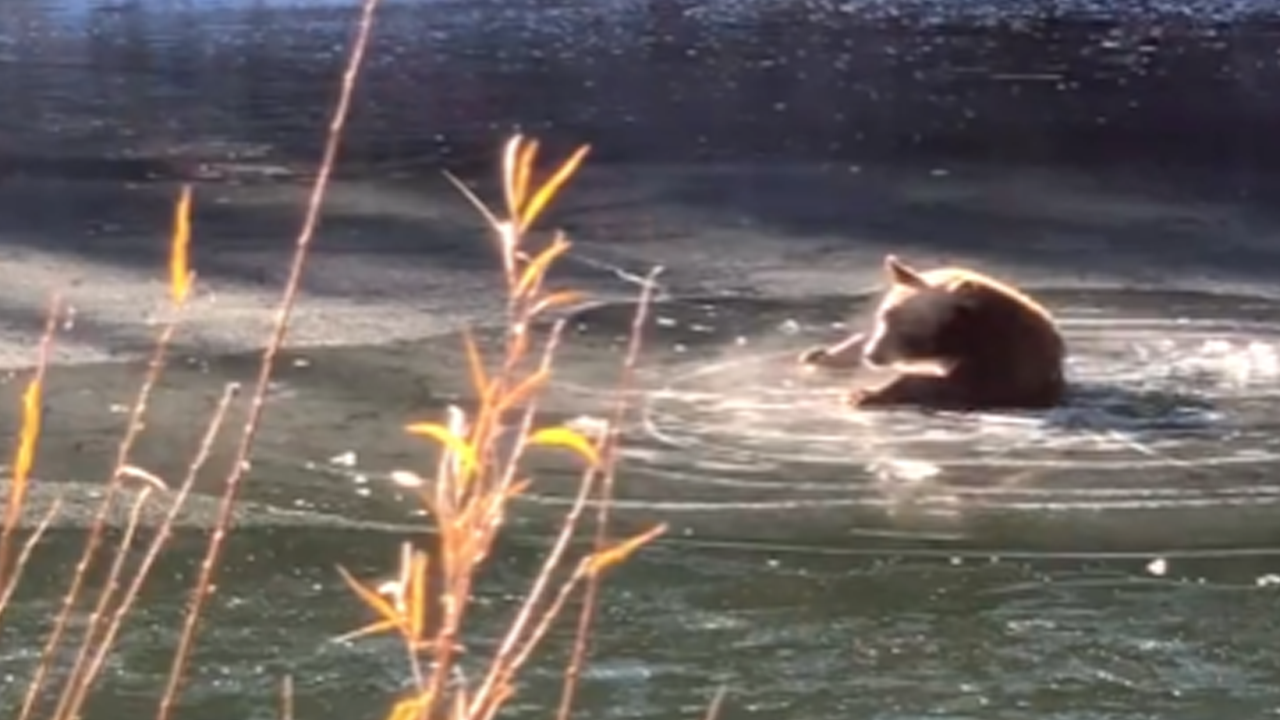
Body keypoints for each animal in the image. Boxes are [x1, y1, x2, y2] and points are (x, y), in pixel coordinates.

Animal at [798, 254, 1067, 411]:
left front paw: (864, 394)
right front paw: (824, 356)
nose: (872, 355)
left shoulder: (1004, 359)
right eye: (883, 316)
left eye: (907, 328)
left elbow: (948, 385)